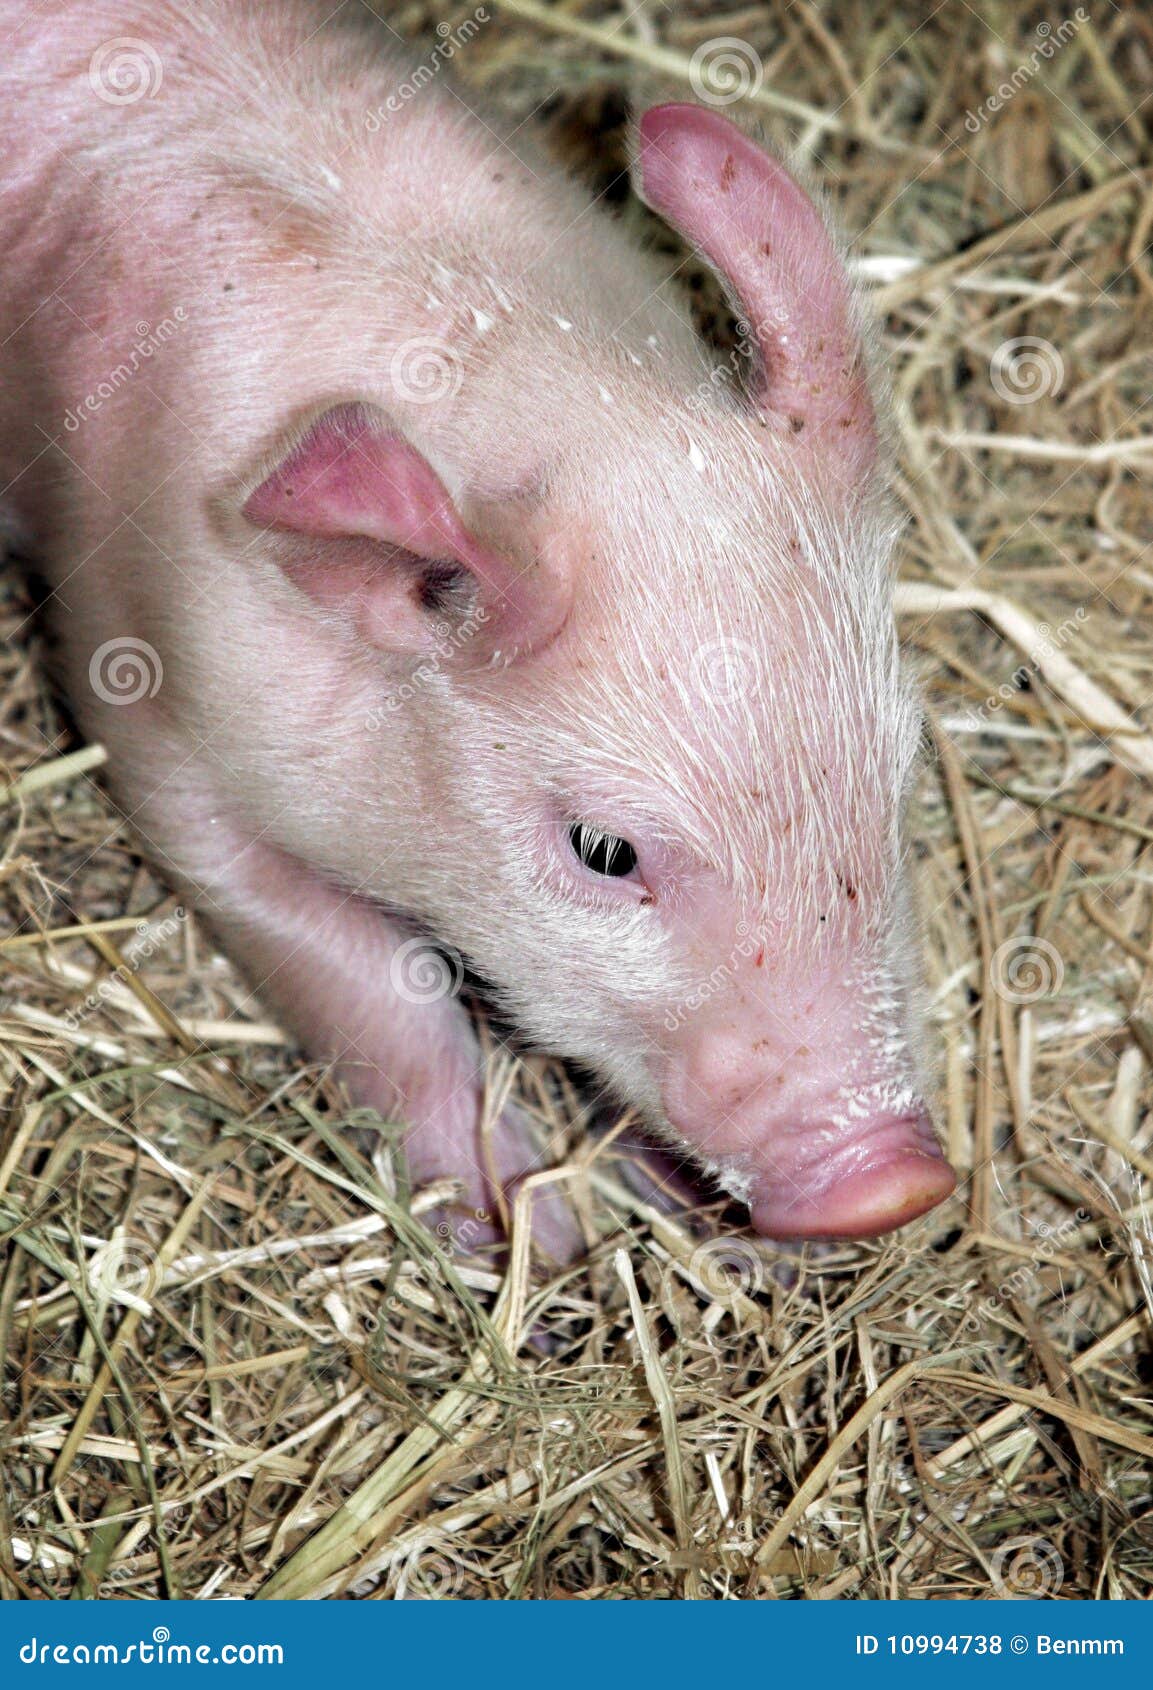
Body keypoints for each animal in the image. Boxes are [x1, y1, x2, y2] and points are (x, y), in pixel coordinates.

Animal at [1, 0, 956, 1256]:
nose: (888, 1180)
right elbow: (360, 972)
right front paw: (527, 1234)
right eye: (603, 848)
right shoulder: (147, 686)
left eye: (902, 773)